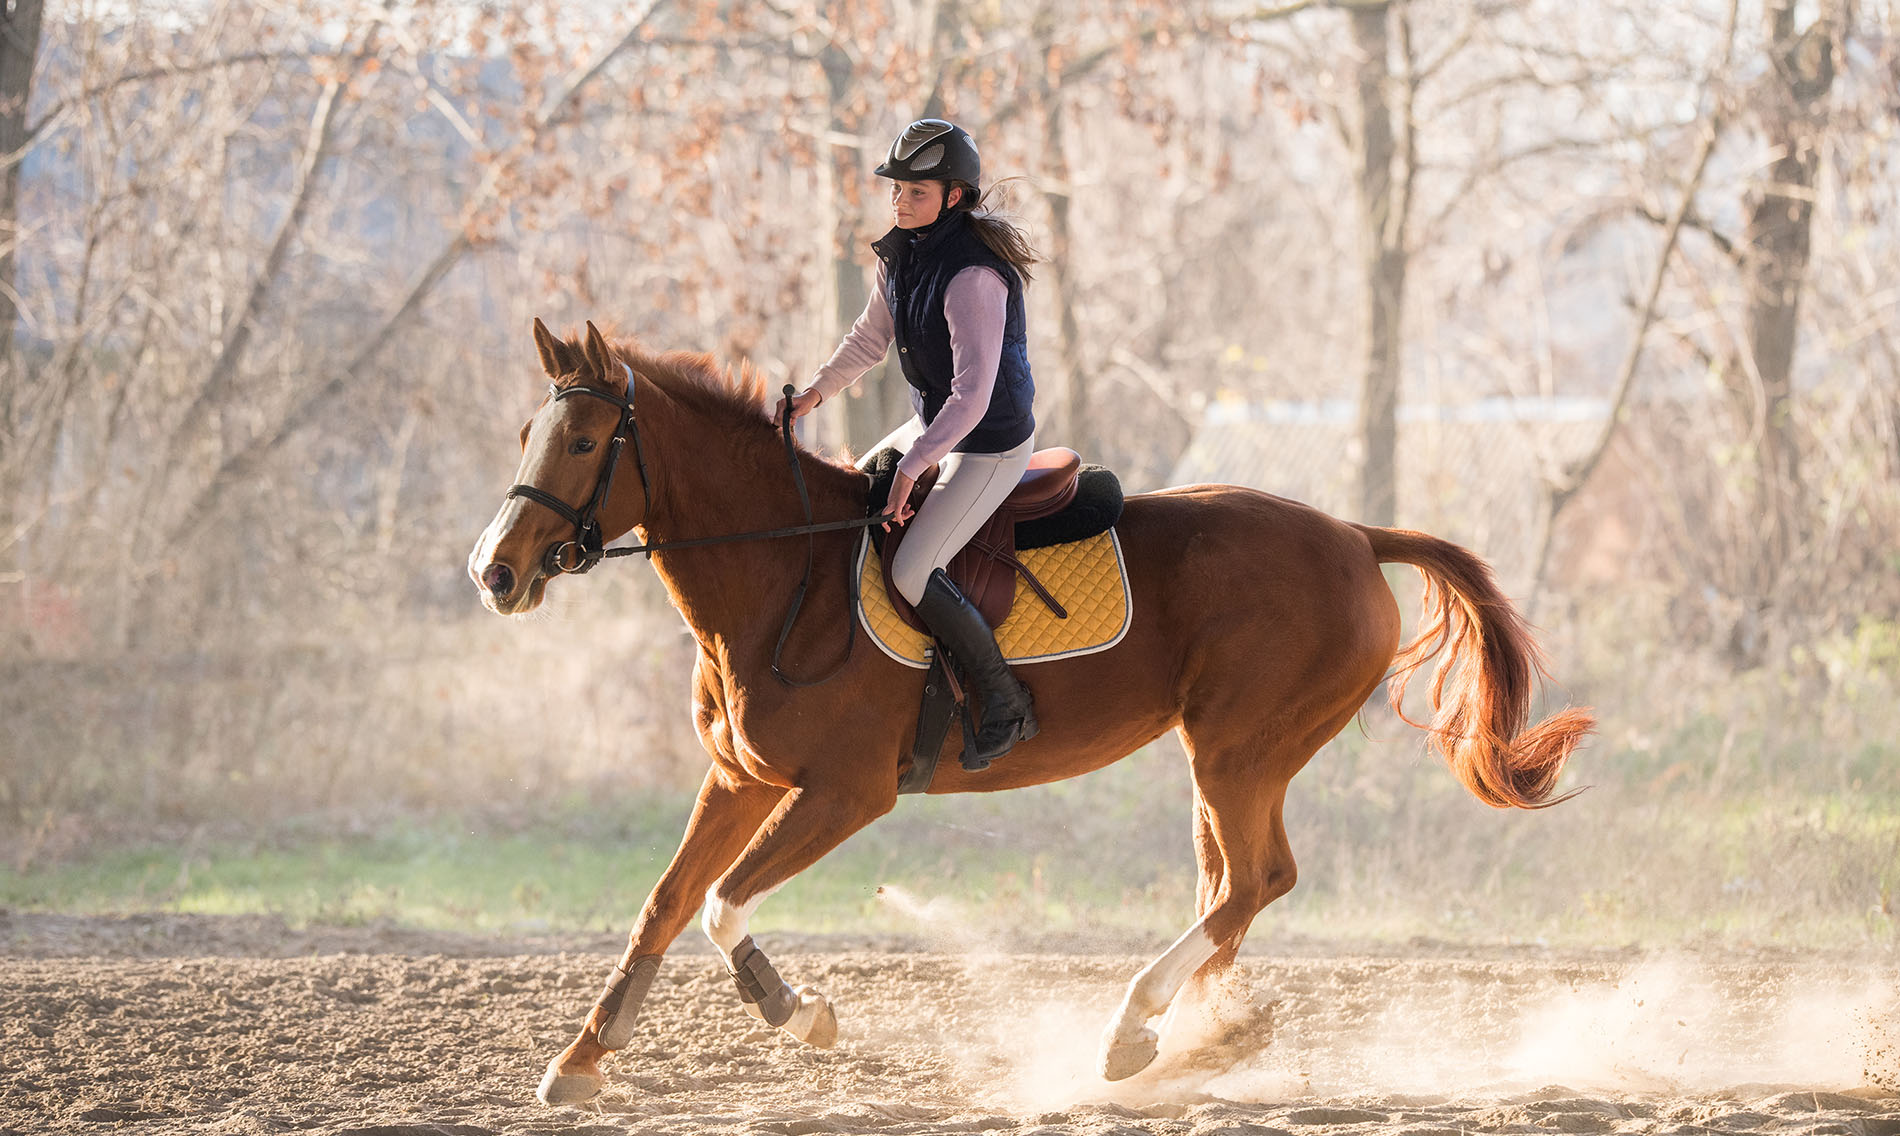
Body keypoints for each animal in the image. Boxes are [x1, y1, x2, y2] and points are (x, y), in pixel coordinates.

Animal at [467, 320, 1593, 1106]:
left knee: (1253, 880)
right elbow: (663, 904)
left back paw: (1133, 1030)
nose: (495, 572)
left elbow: (720, 902)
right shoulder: (741, 777)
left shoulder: (843, 794)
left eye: (582, 440)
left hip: (1242, 749)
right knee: (1230, 889)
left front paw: (798, 1012)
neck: (785, 569)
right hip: (1228, 758)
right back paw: (1197, 1041)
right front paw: (579, 1063)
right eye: (526, 433)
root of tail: (1357, 536)